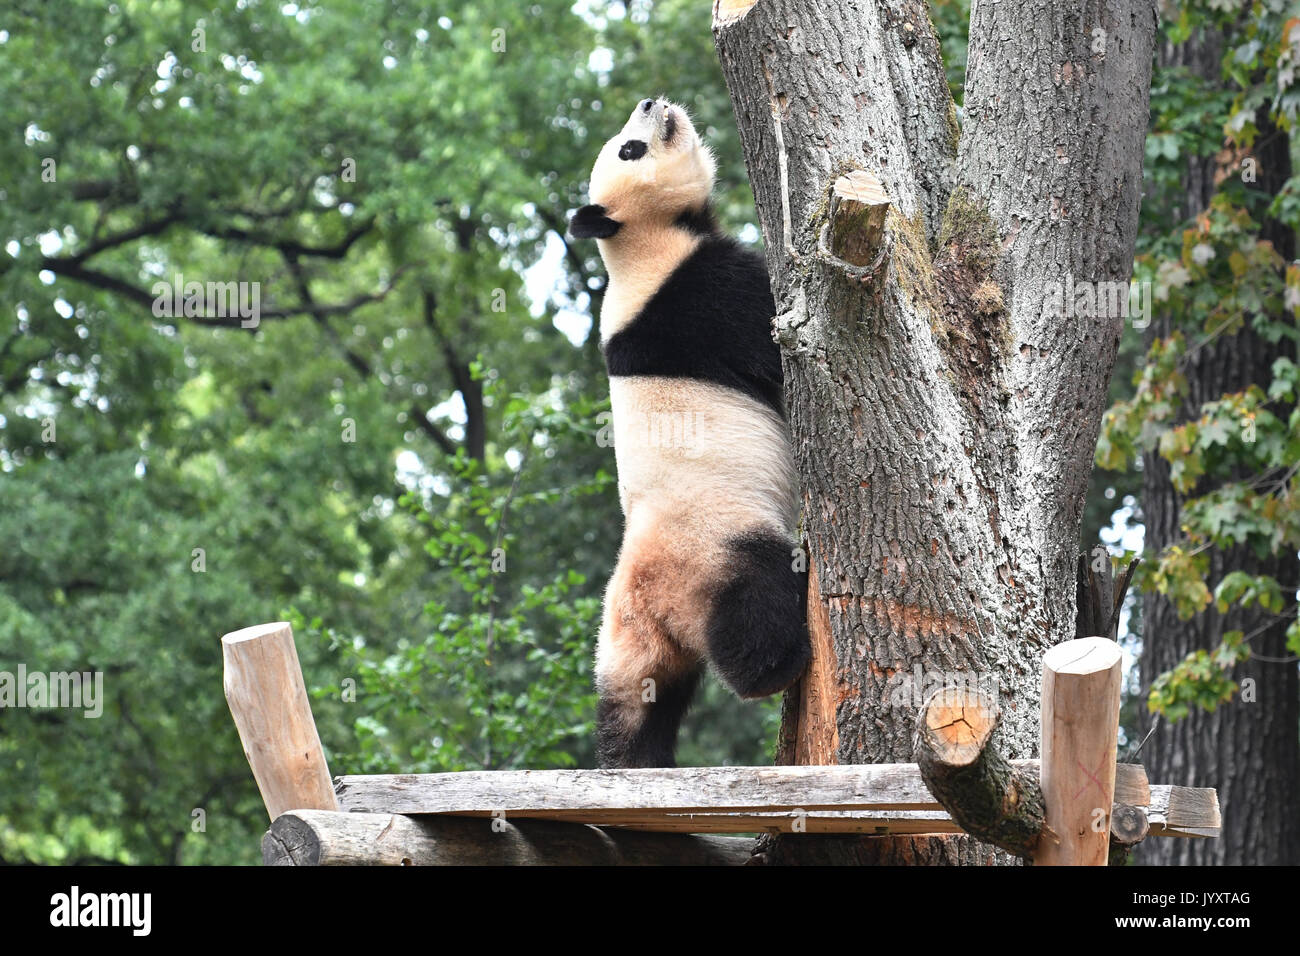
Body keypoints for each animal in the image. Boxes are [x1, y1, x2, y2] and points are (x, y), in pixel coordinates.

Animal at [569, 96, 810, 769]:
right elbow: (762, 330)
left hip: (619, 631)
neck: (635, 244)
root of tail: (662, 609)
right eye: (629, 149)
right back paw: (777, 669)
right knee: (756, 602)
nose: (651, 103)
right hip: (716, 544)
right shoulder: (689, 292)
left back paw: (631, 761)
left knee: (631, 700)